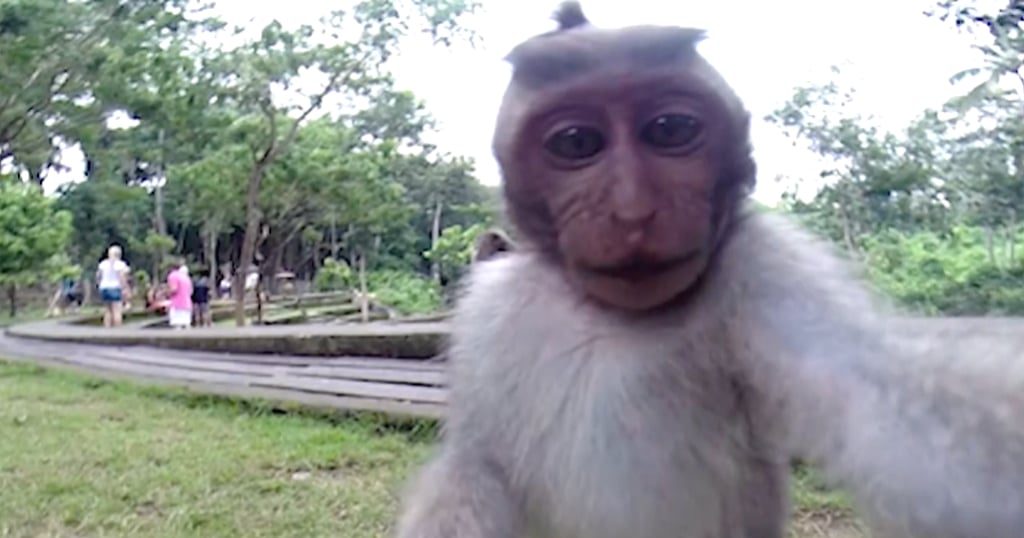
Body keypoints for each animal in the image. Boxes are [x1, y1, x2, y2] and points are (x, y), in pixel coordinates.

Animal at [395, 3, 1024, 538]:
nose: (632, 210)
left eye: (670, 130)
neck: (609, 314)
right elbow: (477, 468)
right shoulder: (490, 310)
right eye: (576, 141)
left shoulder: (768, 272)